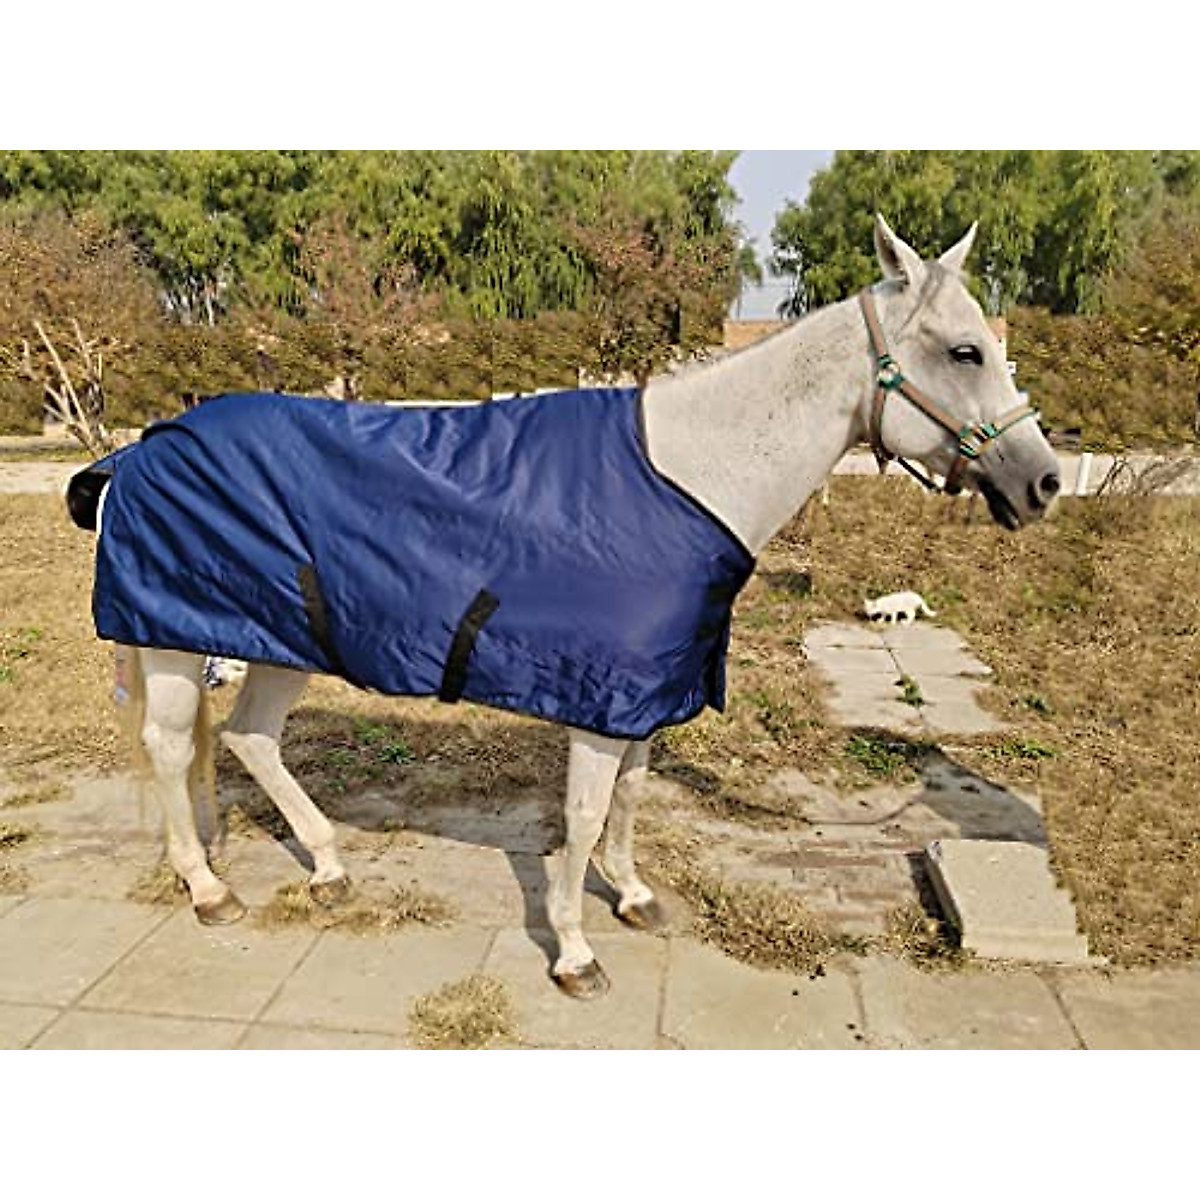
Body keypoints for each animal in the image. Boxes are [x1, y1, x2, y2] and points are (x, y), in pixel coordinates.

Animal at [71, 216, 1061, 998]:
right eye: (965, 351)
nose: (1044, 483)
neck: (686, 474)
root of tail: (139, 448)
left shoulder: (644, 692)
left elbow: (630, 796)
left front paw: (631, 895)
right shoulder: (598, 695)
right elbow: (583, 815)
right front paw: (575, 953)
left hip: (288, 639)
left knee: (250, 738)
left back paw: (328, 868)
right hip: (173, 646)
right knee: (173, 750)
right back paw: (208, 888)